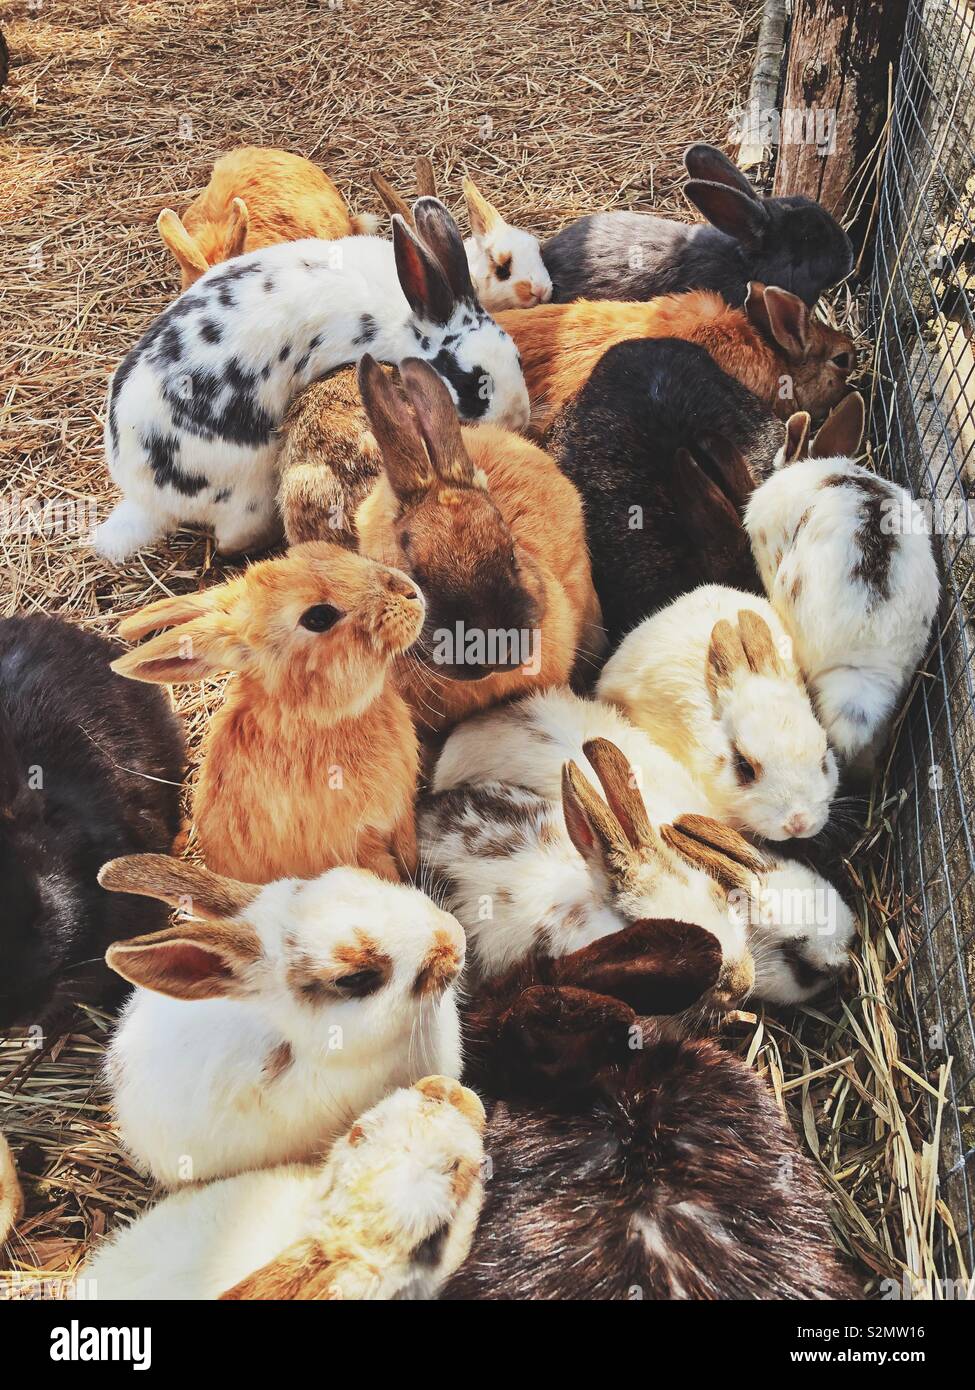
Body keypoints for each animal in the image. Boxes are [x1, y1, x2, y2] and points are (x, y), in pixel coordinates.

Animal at [94, 197, 530, 562]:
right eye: (474, 383)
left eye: (517, 357)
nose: (518, 421)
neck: (404, 319)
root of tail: (144, 498)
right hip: (247, 490)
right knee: (231, 541)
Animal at [109, 543, 423, 885]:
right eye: (319, 617)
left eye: (317, 550)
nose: (410, 592)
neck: (320, 719)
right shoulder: (357, 843)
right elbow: (385, 873)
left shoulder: (401, 814)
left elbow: (409, 849)